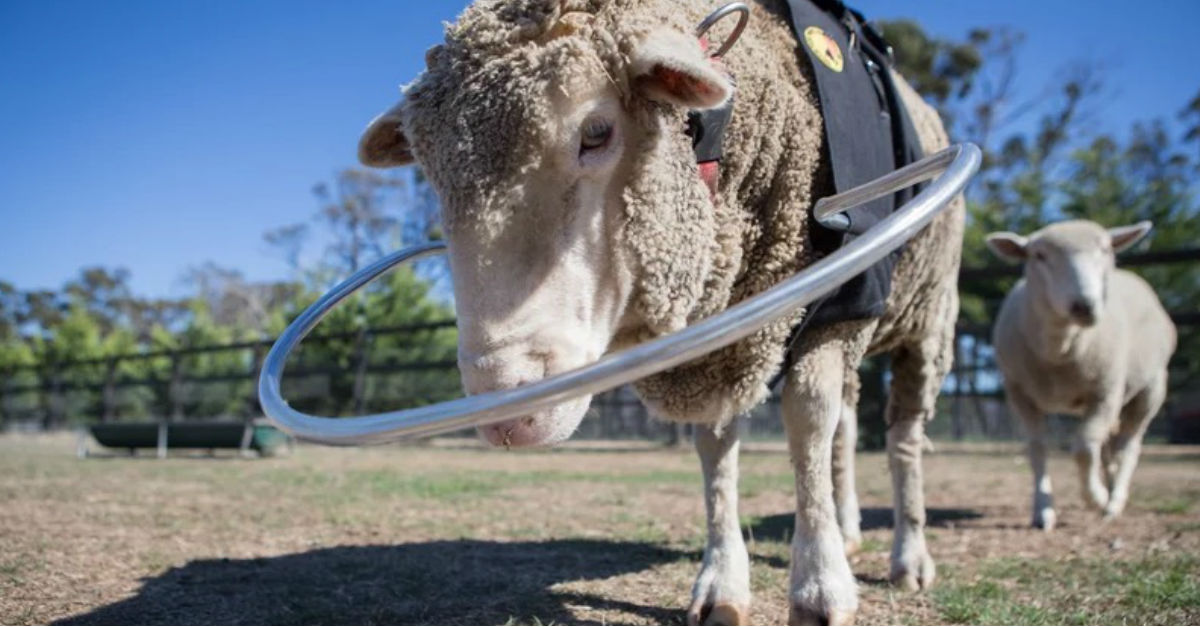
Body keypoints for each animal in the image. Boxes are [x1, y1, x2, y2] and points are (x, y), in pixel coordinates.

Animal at [357, 0, 965, 623]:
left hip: (928, 316)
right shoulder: (716, 332)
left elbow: (808, 420)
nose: (504, 410)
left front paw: (820, 587)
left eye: (596, 132)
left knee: (902, 435)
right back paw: (848, 529)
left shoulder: (839, 304)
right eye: (432, 172)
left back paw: (908, 554)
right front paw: (722, 581)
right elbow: (716, 445)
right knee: (847, 423)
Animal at [986, 219, 1176, 528]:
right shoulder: (1019, 394)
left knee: (1128, 446)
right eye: (1039, 255)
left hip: (1151, 388)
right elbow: (1037, 449)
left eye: (1105, 250)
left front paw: (1096, 498)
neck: (1059, 350)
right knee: (1111, 446)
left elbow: (1085, 448)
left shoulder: (1106, 391)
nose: (1083, 305)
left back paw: (1114, 501)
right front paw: (1043, 511)